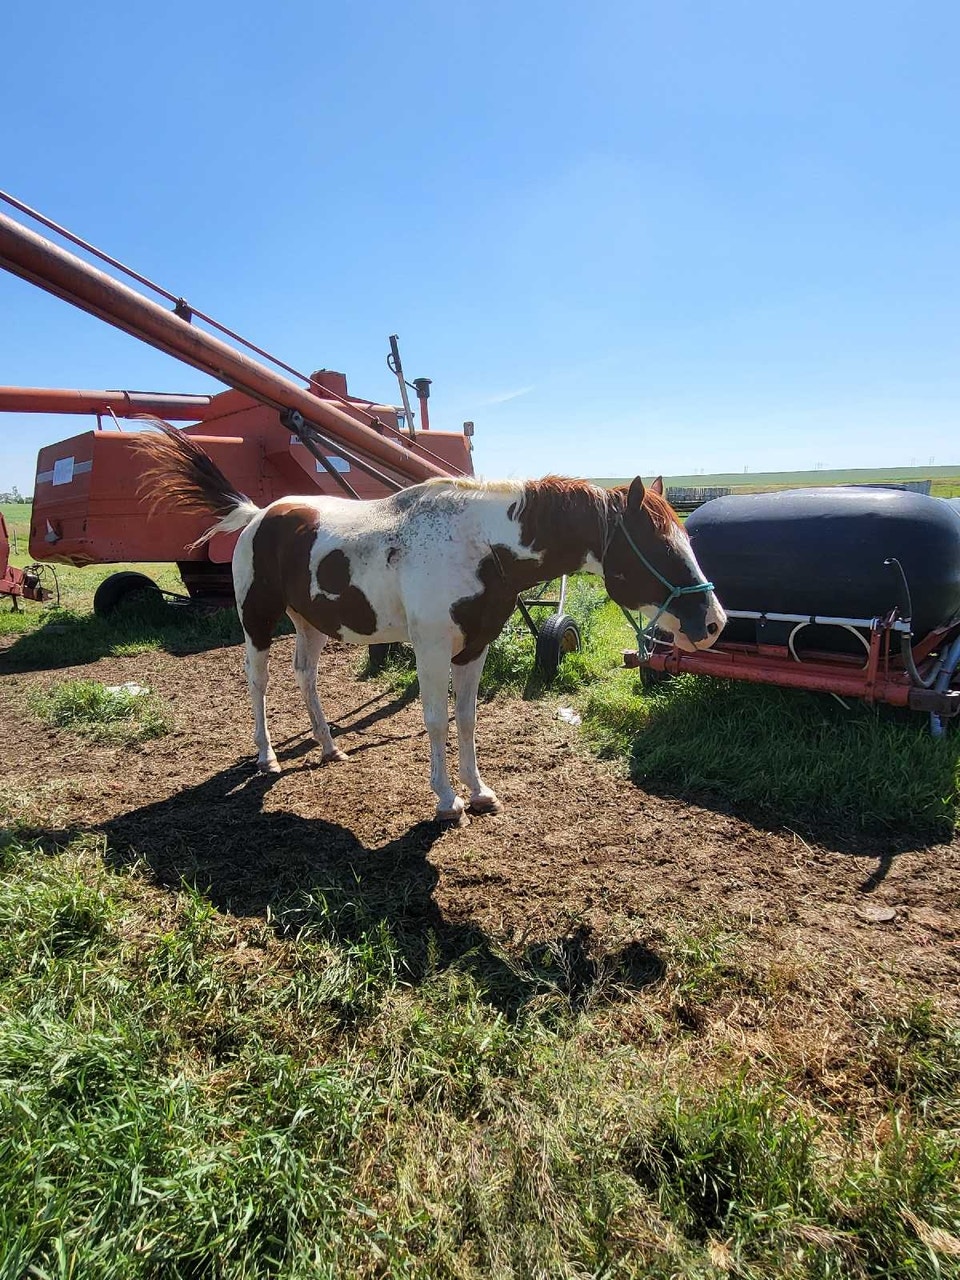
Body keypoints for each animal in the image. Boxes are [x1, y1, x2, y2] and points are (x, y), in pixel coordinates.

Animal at [138, 424, 726, 821]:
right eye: (657, 547)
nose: (714, 622)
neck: (479, 545)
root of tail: (258, 514)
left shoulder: (474, 648)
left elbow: (466, 720)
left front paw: (479, 790)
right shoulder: (433, 650)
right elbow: (437, 720)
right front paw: (447, 800)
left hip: (309, 622)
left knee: (304, 675)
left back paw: (329, 747)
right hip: (256, 619)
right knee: (257, 682)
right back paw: (267, 758)